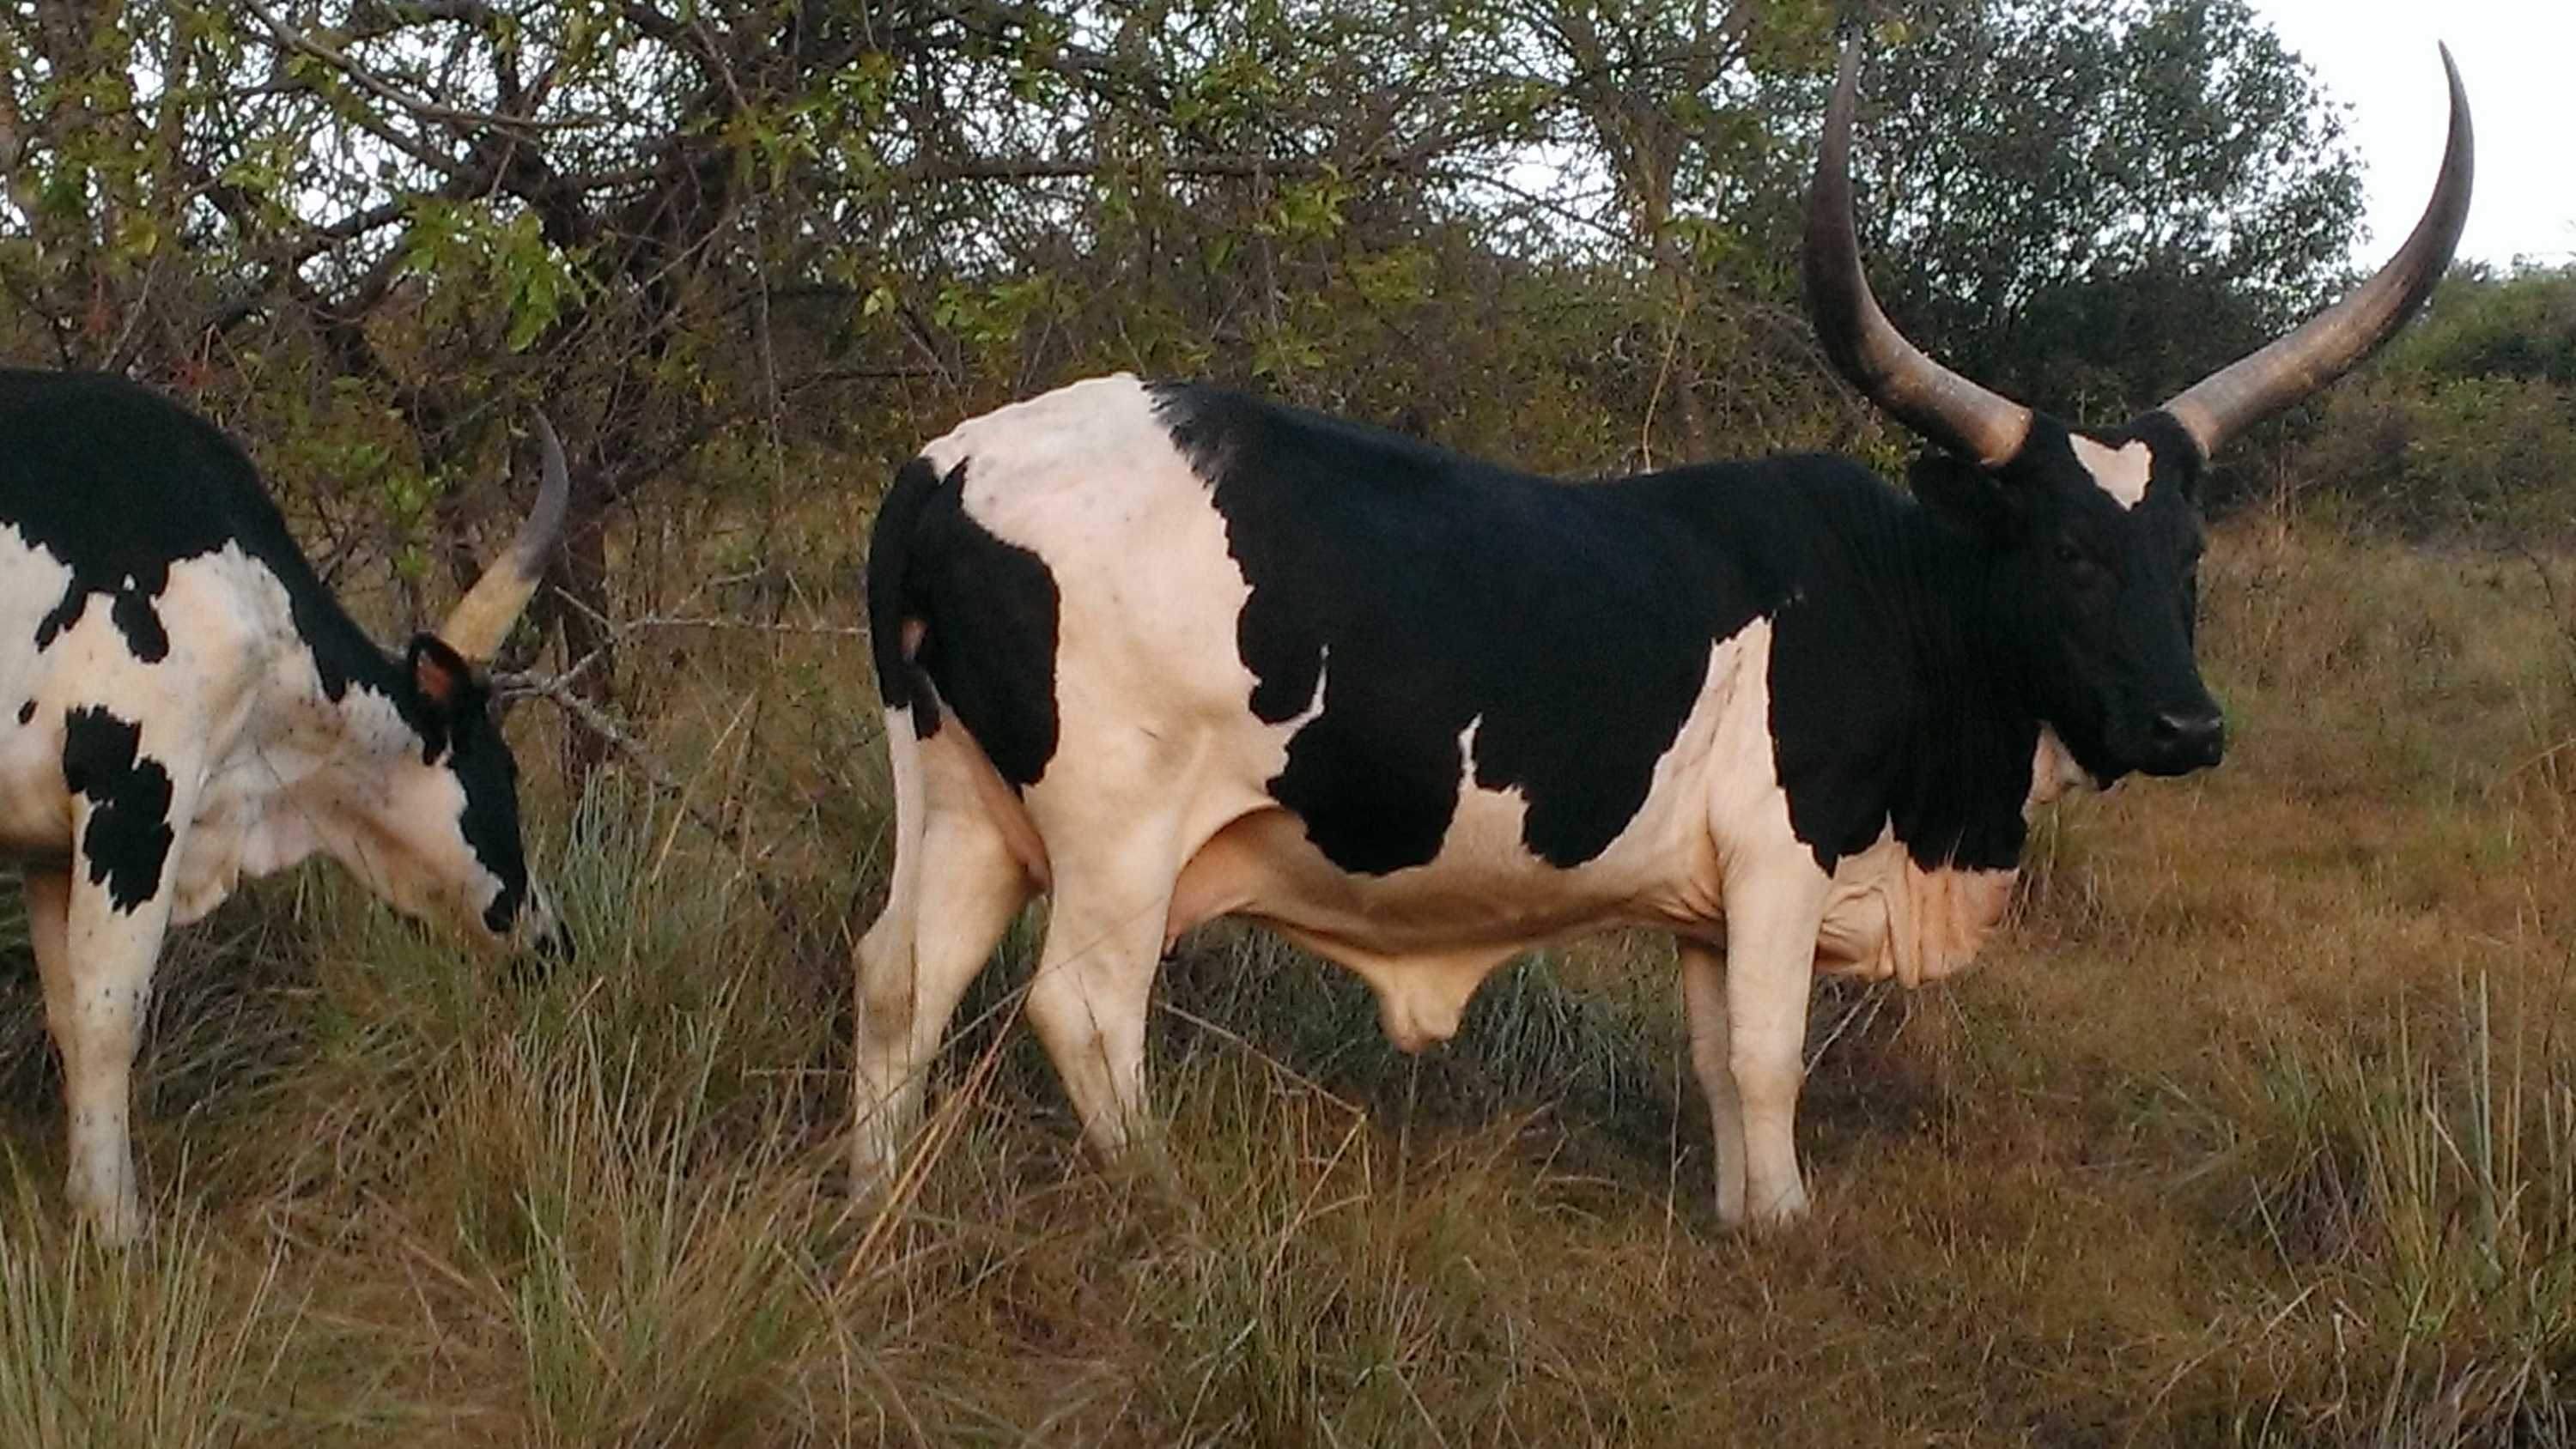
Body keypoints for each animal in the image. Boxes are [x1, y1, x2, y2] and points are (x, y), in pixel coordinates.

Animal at [0, 371, 571, 1243]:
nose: (554, 944)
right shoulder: (134, 792)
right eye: (503, 768)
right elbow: (109, 1013)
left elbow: (68, 1012)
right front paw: (117, 1223)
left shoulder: (48, 846)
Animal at [853, 43, 2472, 1227]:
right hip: (1116, 837)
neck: (1895, 595)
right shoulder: (1781, 859)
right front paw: (1790, 1228)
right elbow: (1767, 1056)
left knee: (899, 980)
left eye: (2187, 555)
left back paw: (871, 1199)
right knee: (1082, 1008)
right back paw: (1166, 1197)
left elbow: (1715, 1062)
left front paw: (1742, 1215)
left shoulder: (1707, 904)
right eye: (2070, 553)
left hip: (958, 805)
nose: (2192, 727)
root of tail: (955, 462)